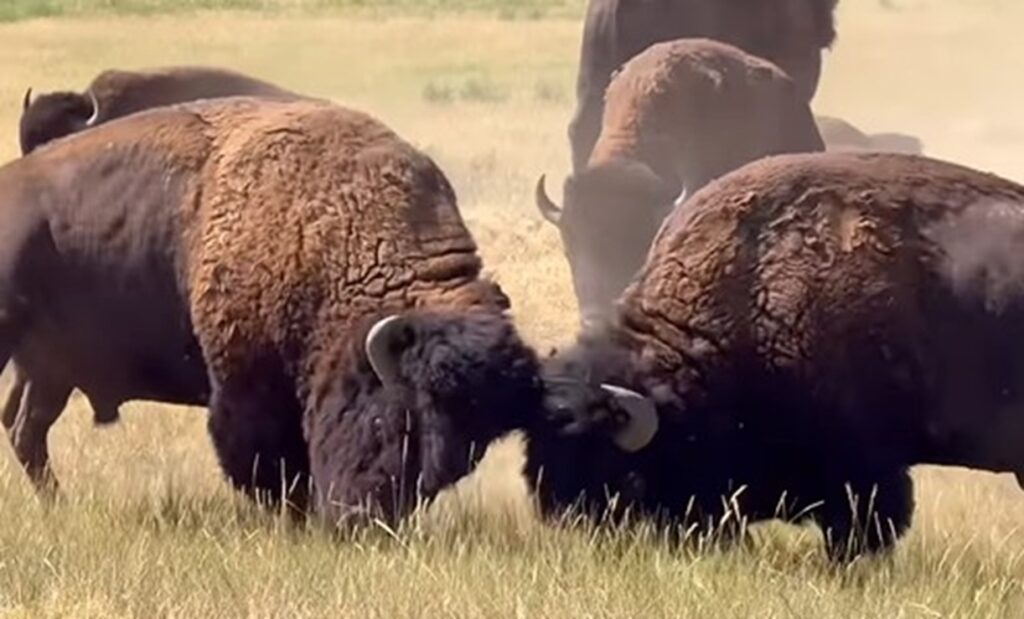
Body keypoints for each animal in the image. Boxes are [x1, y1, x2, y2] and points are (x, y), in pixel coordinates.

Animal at [0, 96, 543, 526]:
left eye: (462, 460)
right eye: (390, 423)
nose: (363, 520)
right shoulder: (246, 385)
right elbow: (264, 460)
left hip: (50, 372)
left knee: (26, 429)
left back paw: (58, 506)